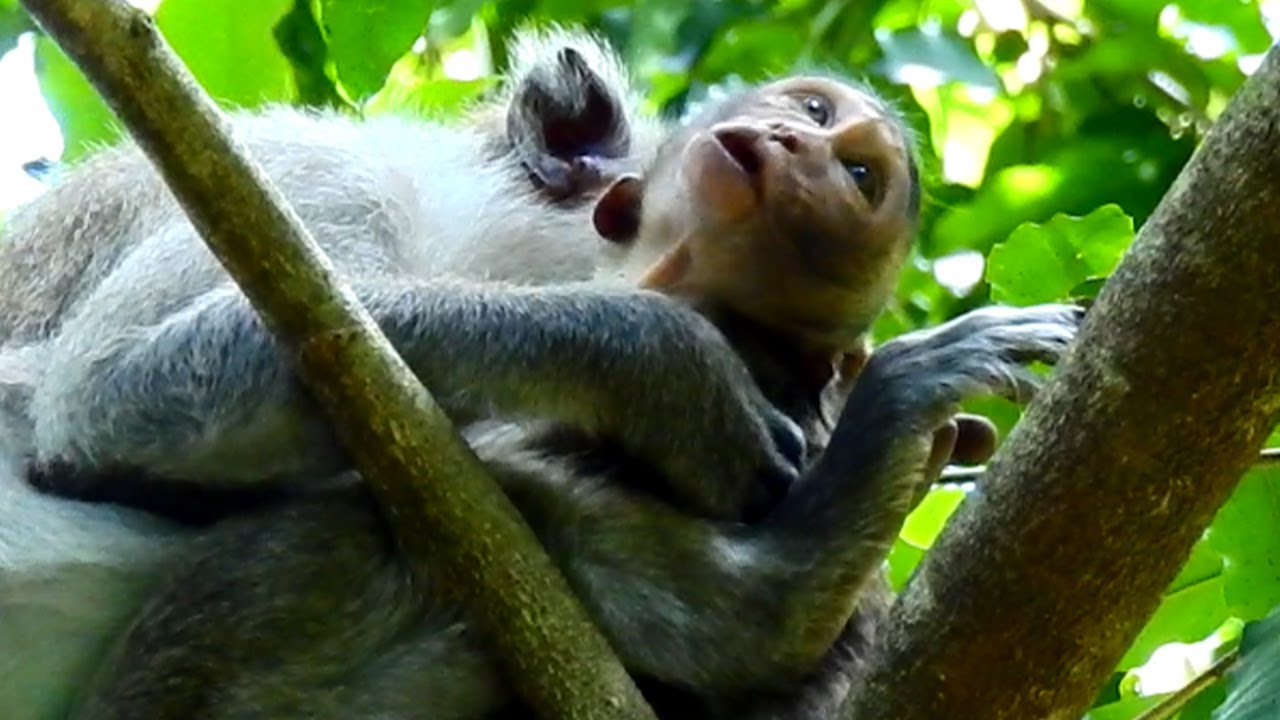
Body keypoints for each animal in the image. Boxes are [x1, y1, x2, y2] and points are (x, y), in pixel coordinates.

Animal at [0, 62, 1082, 719]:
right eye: (816, 116)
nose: (811, 152)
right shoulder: (302, 185)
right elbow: (111, 395)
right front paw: (668, 373)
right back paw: (772, 592)